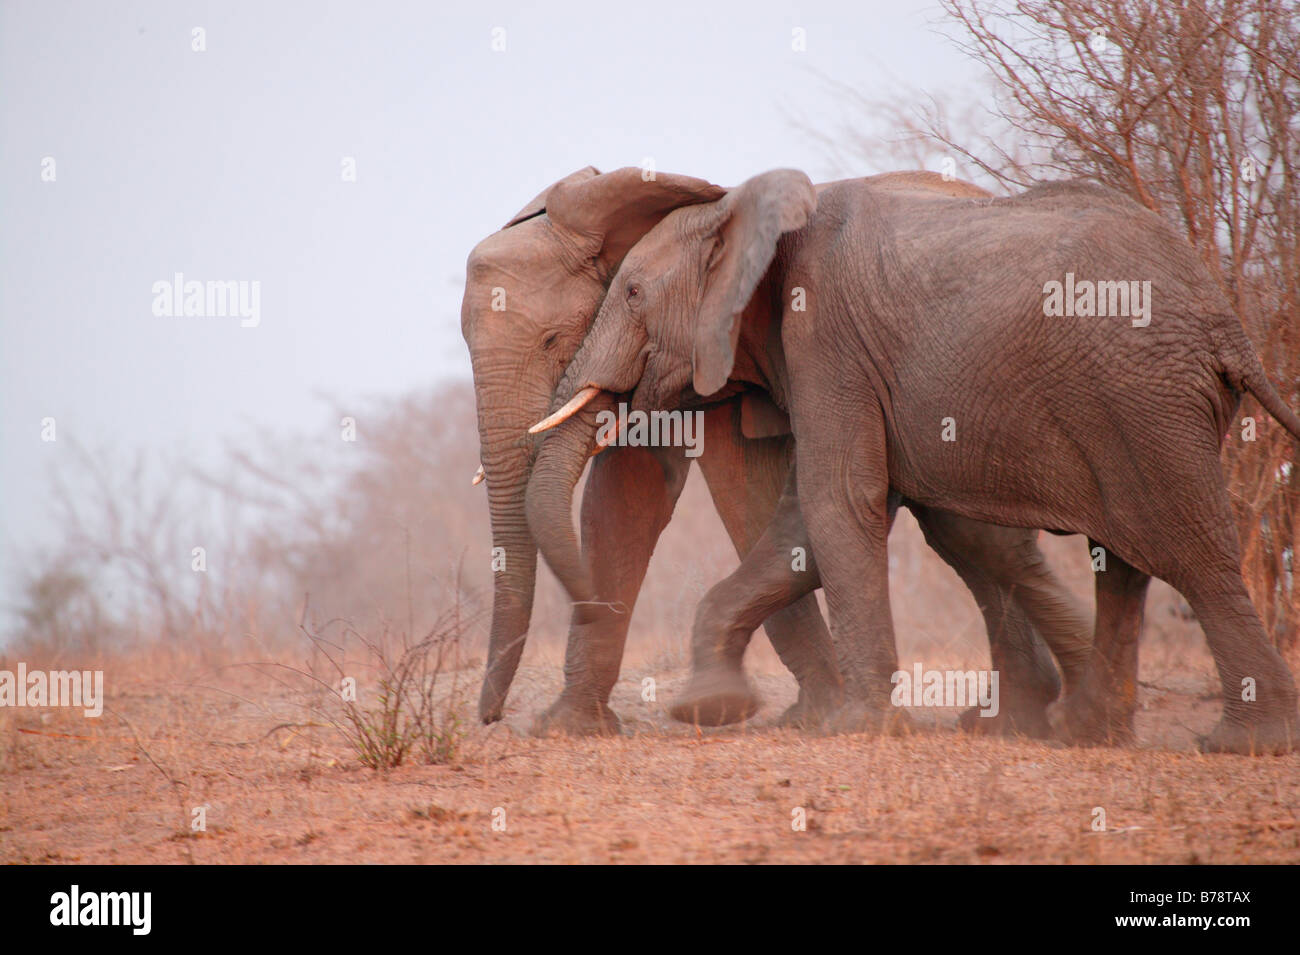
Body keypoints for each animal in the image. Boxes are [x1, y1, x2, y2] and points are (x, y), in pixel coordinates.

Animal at [528, 168, 1300, 754]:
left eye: (631, 293)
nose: (587, 599)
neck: (746, 211)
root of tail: (1227, 323)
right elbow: (804, 522)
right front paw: (714, 707)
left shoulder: (826, 338)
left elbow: (838, 499)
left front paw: (852, 728)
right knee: (1120, 560)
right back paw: (1085, 731)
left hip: (1145, 398)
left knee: (1189, 555)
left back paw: (1240, 743)